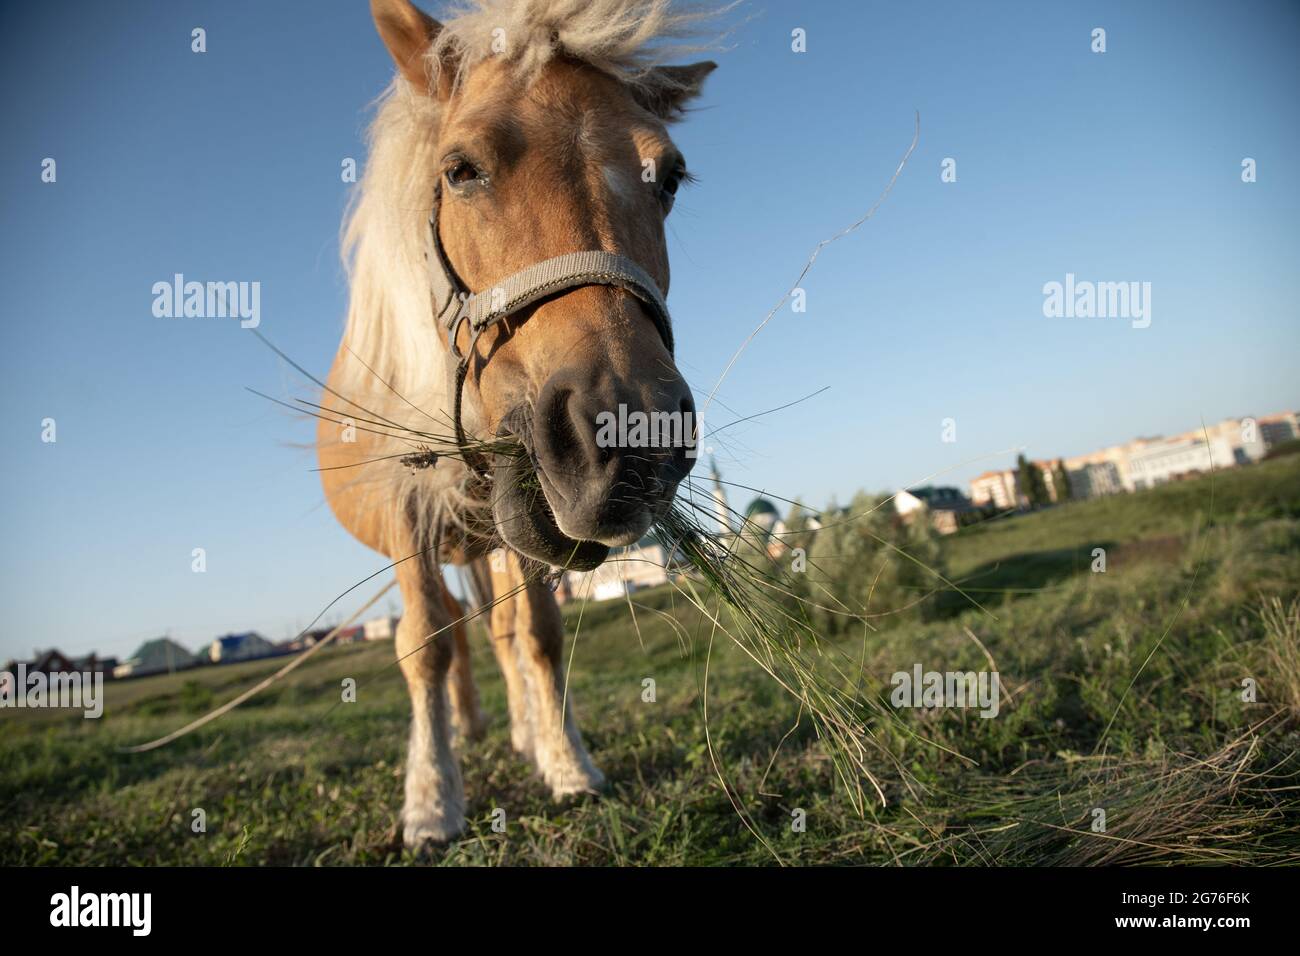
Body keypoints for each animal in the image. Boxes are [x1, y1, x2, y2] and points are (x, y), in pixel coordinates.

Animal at [317, 0, 715, 846]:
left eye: (668, 177)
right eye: (461, 170)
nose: (628, 440)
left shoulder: (528, 519)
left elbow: (538, 634)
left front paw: (567, 762)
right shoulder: (408, 516)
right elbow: (424, 648)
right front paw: (431, 800)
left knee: (501, 634)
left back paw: (527, 733)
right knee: (453, 634)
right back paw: (466, 732)